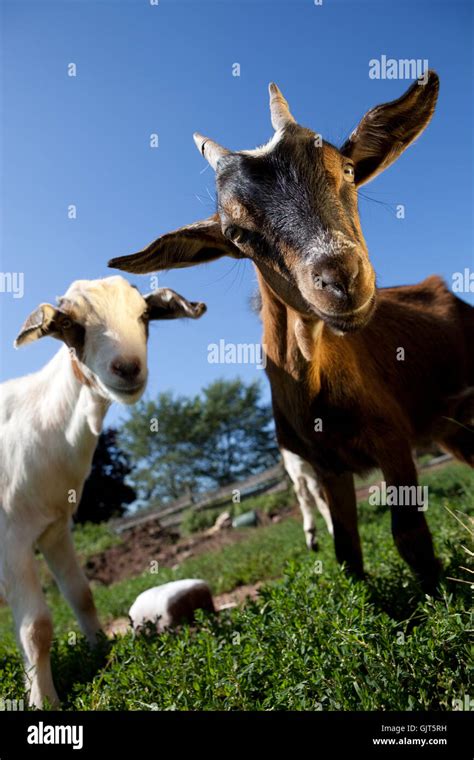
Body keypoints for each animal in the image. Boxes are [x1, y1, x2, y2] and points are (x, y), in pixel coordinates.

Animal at [0, 276, 206, 707]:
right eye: (70, 324)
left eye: (144, 315)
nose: (127, 367)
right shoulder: (10, 539)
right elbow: (36, 627)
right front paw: (45, 700)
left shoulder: (56, 528)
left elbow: (82, 594)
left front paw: (101, 652)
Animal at [109, 72, 474, 592]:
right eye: (236, 233)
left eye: (347, 170)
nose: (341, 279)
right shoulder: (325, 464)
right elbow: (348, 551)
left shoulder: (392, 439)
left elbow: (410, 537)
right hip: (450, 426)